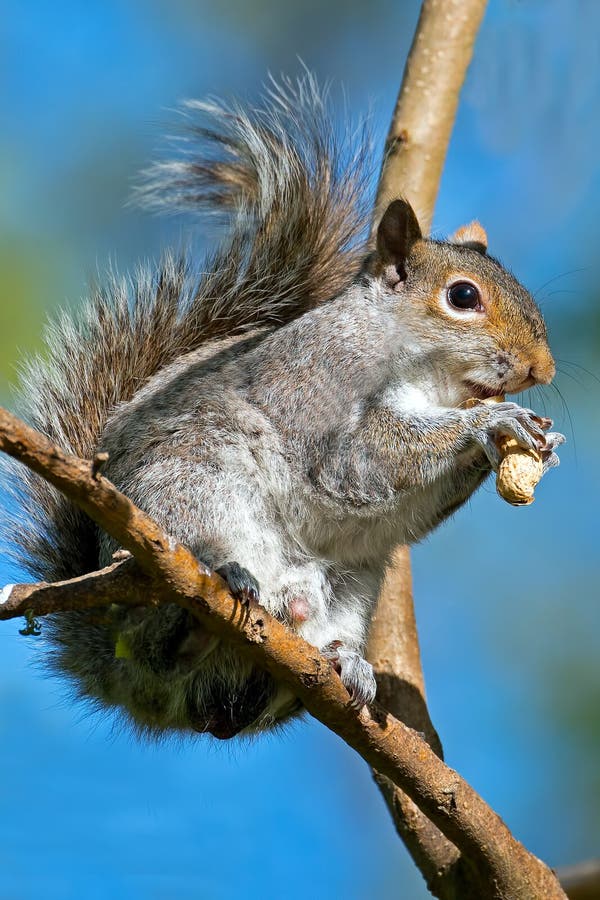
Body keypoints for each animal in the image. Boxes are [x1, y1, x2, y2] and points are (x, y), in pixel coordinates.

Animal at [1, 74, 564, 740]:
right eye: (463, 297)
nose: (542, 370)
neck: (423, 374)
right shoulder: (316, 385)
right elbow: (363, 461)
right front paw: (492, 421)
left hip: (352, 585)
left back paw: (339, 662)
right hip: (184, 494)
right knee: (158, 634)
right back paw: (206, 600)